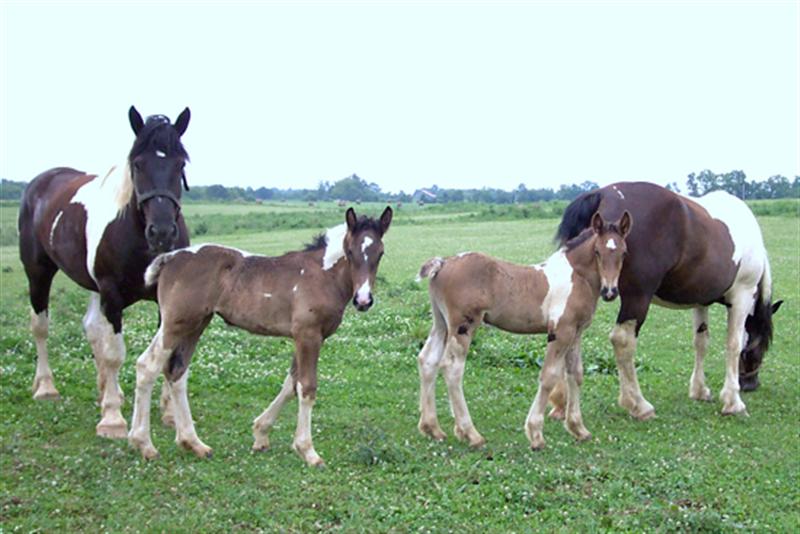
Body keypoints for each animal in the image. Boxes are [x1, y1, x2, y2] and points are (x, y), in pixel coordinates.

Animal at [18, 106, 192, 438]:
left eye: (180, 164)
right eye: (137, 164)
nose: (162, 232)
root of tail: (42, 181)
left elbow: (165, 352)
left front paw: (169, 414)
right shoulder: (111, 293)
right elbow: (114, 353)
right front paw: (112, 419)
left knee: (92, 328)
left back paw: (108, 392)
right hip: (38, 273)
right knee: (40, 326)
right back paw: (46, 387)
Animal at [128, 207, 393, 467]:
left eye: (380, 253)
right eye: (350, 251)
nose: (363, 300)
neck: (322, 274)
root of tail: (170, 258)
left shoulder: (305, 337)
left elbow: (290, 384)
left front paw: (261, 434)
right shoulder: (308, 335)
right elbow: (306, 387)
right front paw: (308, 451)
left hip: (196, 324)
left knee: (177, 372)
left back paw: (194, 444)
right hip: (175, 323)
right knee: (147, 366)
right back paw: (145, 445)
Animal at [416, 211, 632, 450]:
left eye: (624, 252)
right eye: (597, 252)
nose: (610, 292)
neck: (576, 276)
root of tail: (443, 263)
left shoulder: (576, 332)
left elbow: (575, 374)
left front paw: (578, 429)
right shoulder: (561, 331)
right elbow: (549, 376)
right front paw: (536, 434)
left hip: (441, 324)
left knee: (427, 360)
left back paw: (432, 429)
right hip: (462, 327)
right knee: (452, 368)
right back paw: (471, 434)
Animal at [556, 182, 782, 419]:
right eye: (762, 346)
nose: (750, 384)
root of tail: (602, 194)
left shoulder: (701, 302)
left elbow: (701, 342)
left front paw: (699, 390)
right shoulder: (741, 297)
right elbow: (734, 344)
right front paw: (733, 401)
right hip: (637, 298)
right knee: (622, 340)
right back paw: (638, 404)